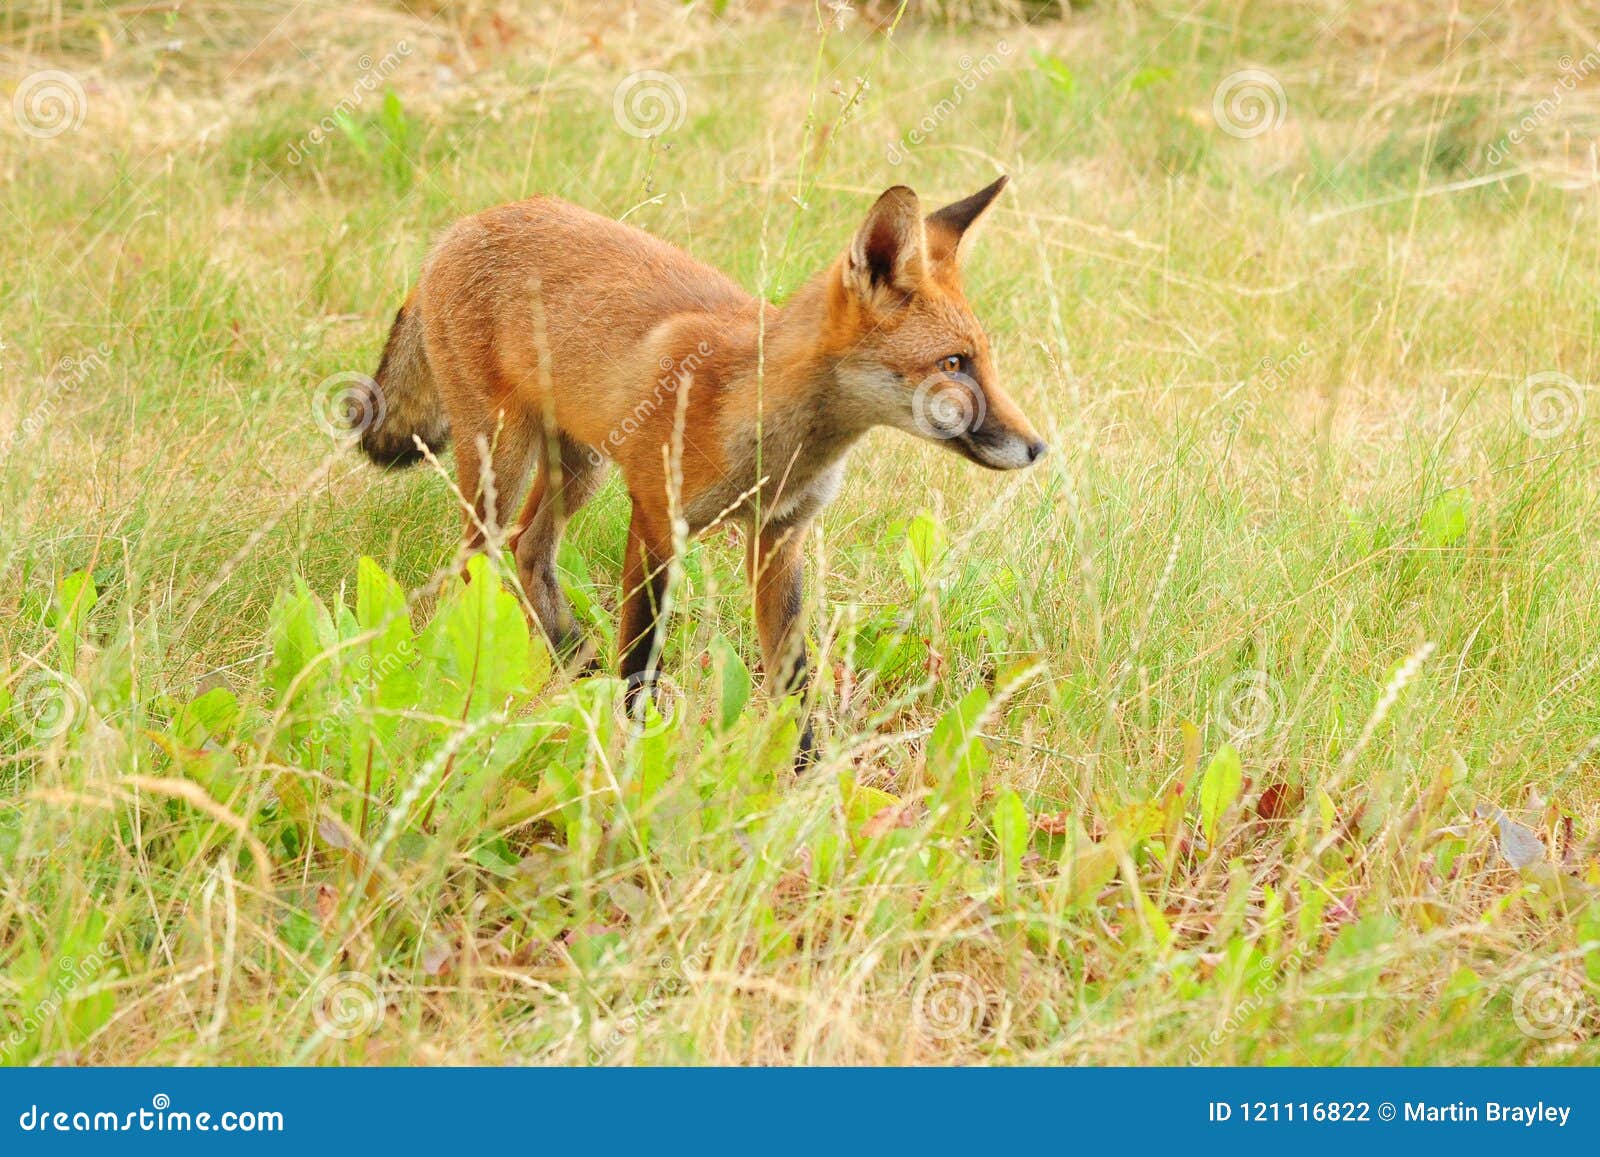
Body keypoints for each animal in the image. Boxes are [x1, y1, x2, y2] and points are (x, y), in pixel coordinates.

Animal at [354, 176, 1047, 763]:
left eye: (985, 361)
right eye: (954, 364)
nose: (1039, 447)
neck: (769, 440)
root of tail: (464, 224)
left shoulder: (780, 538)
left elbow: (793, 681)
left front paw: (803, 777)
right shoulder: (658, 521)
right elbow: (641, 659)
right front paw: (632, 750)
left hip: (580, 467)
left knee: (529, 550)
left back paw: (573, 663)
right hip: (504, 456)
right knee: (478, 557)